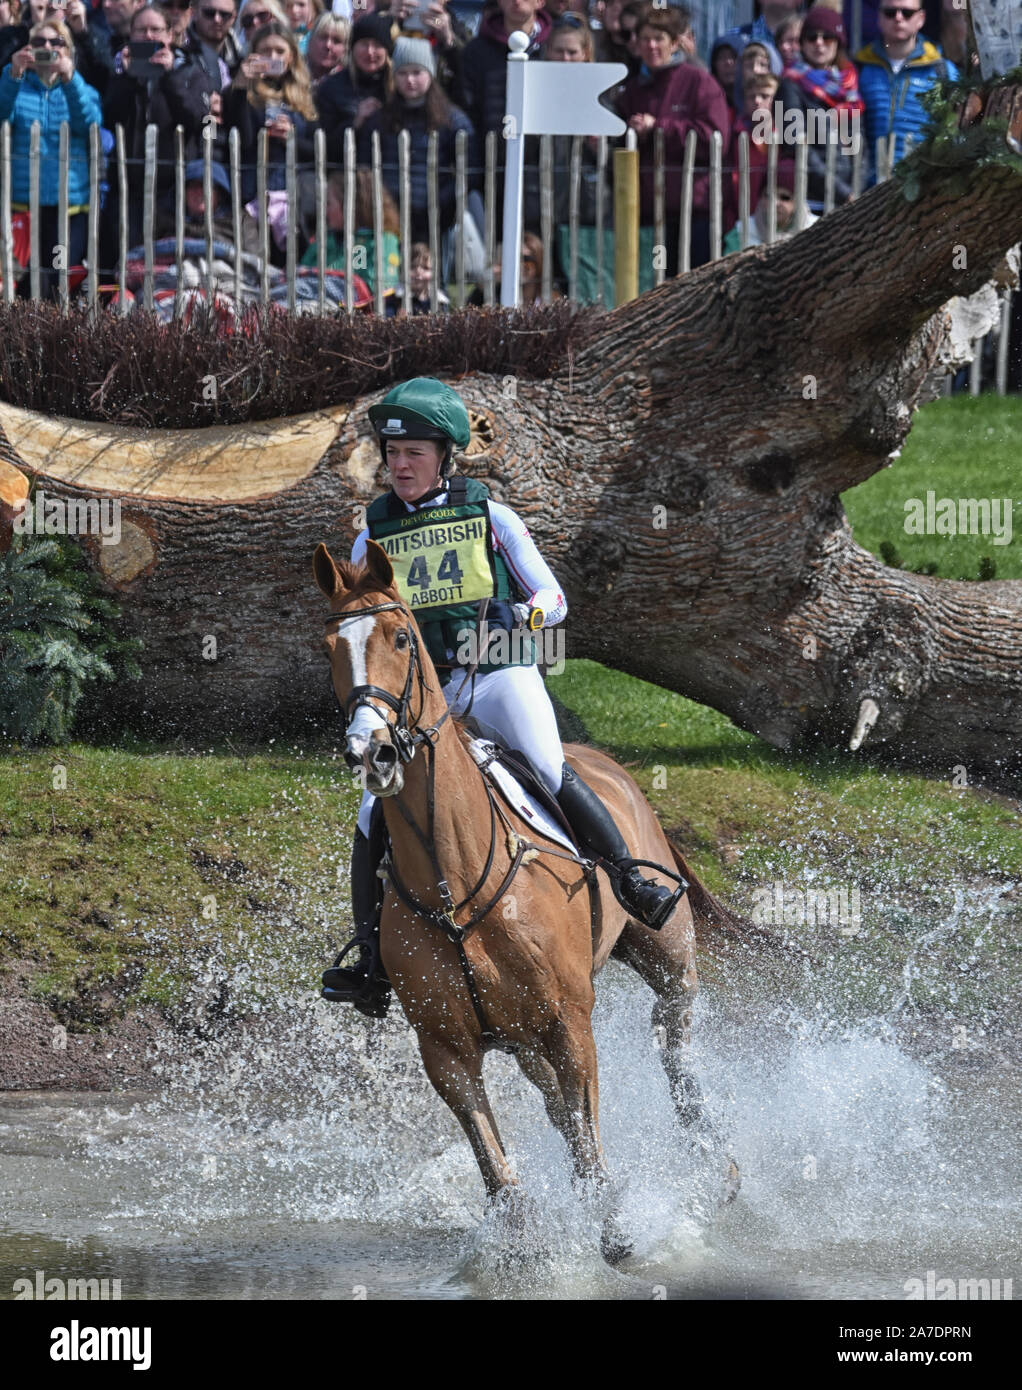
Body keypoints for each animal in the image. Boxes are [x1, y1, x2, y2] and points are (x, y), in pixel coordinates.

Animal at [314, 537, 744, 1258]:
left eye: (400, 637)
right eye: (328, 648)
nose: (369, 753)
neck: (454, 882)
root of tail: (610, 768)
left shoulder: (570, 1023)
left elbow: (591, 1157)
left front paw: (617, 1238)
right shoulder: (447, 1051)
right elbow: (503, 1180)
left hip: (664, 953)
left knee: (675, 1044)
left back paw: (718, 1163)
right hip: (520, 1037)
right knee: (561, 1101)